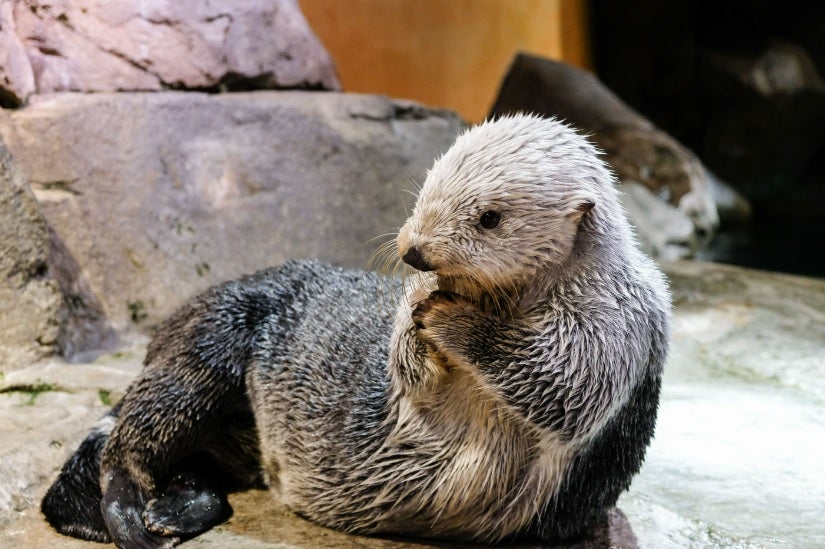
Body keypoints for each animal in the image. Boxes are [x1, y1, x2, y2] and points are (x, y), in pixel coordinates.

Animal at [41, 115, 671, 548]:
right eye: (425, 189)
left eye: (489, 218)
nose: (414, 251)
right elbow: (411, 368)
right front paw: (418, 305)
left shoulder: (618, 324)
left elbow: (563, 386)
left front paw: (453, 318)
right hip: (213, 330)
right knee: (139, 430)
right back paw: (131, 511)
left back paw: (172, 512)